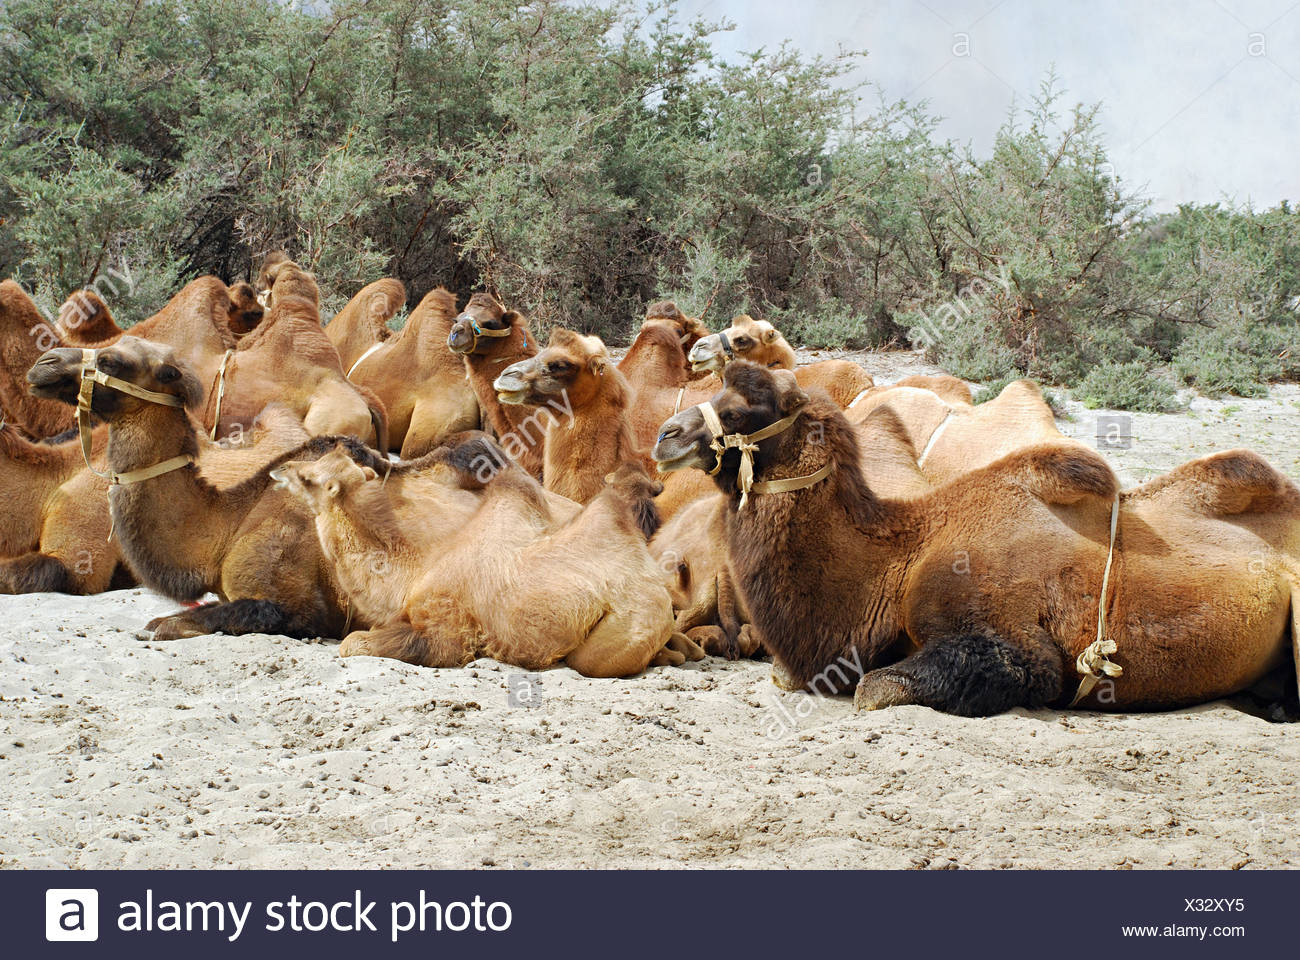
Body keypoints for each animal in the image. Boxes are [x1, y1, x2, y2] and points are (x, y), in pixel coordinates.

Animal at [26, 336, 392, 640]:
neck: (228, 528)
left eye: (110, 361)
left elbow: (187, 621)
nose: (44, 362)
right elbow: (177, 615)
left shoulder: (295, 606)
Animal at [272, 437, 695, 676]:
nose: (283, 467)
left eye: (310, 478)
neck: (416, 567)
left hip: (628, 623)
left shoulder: (446, 630)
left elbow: (353, 643)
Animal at [652, 361, 1300, 715]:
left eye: (747, 406)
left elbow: (874, 689)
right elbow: (789, 673)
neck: (897, 560)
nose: (666, 435)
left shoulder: (1018, 647)